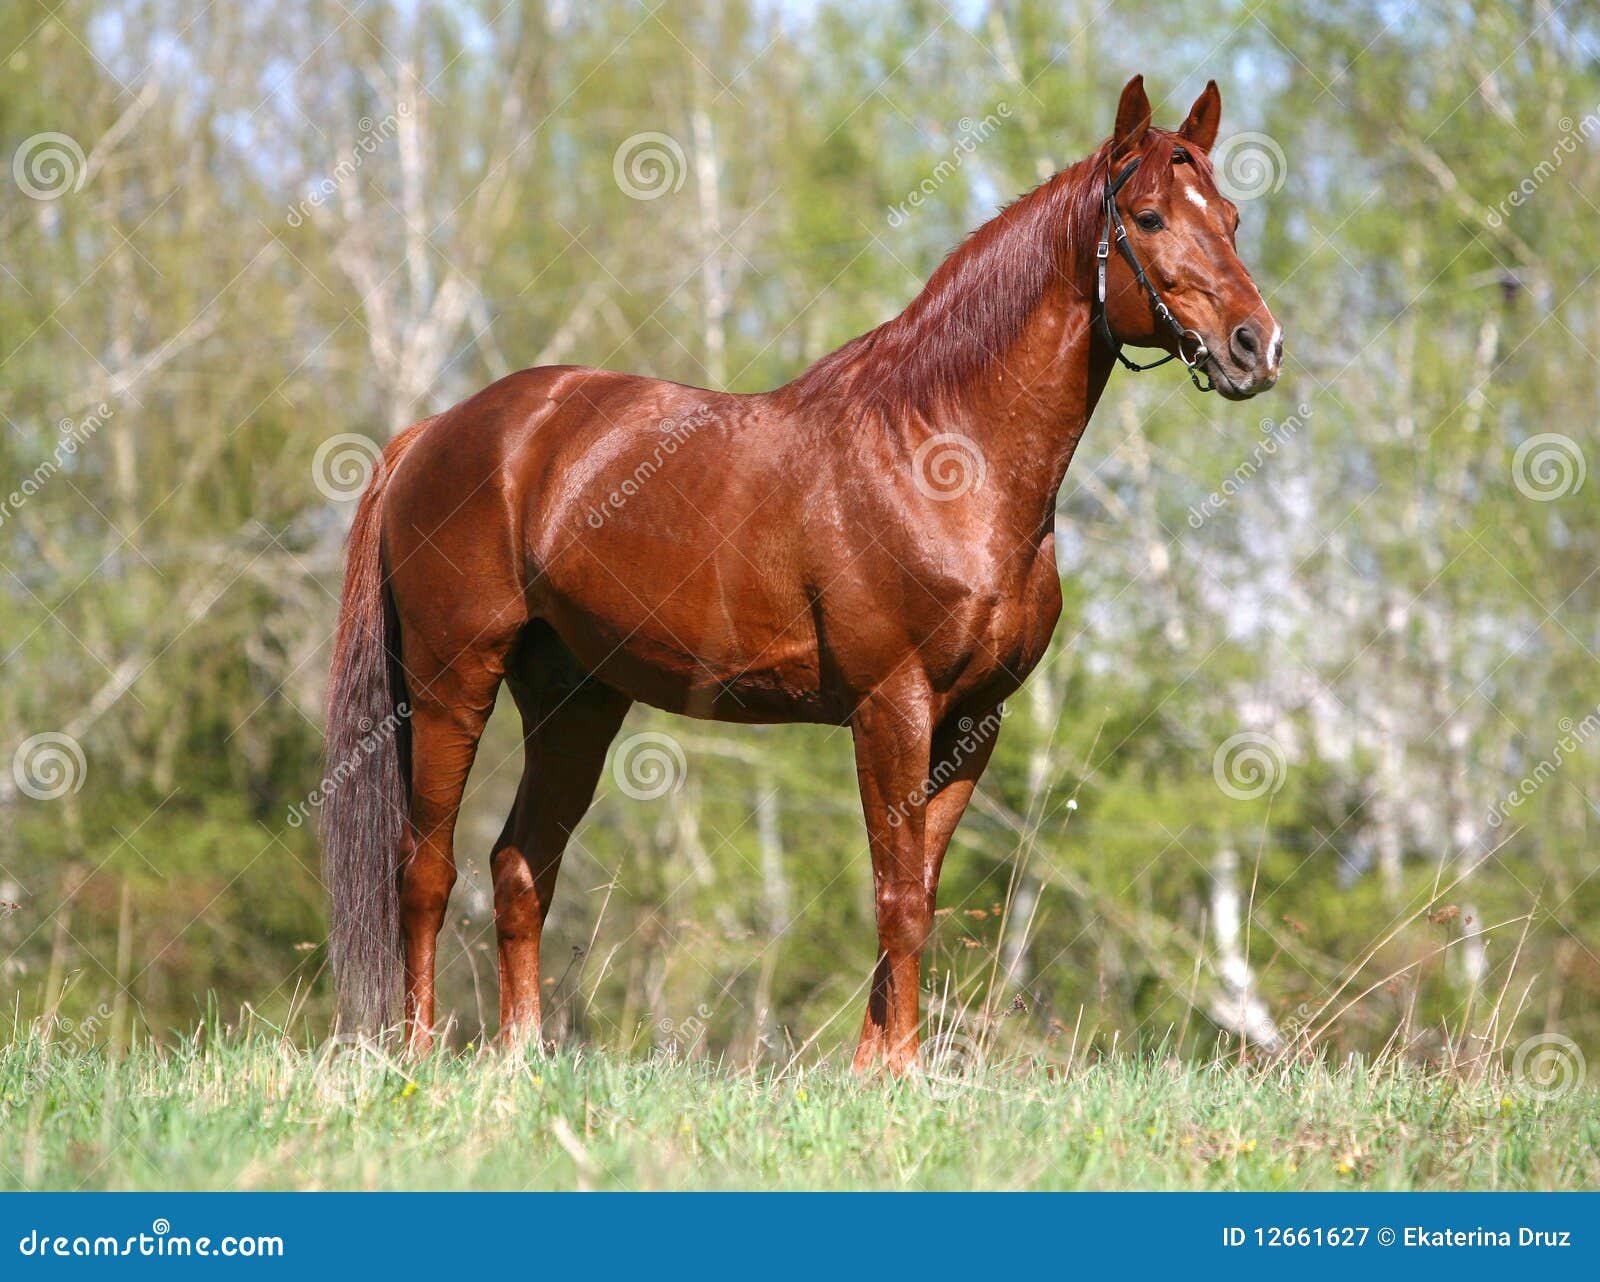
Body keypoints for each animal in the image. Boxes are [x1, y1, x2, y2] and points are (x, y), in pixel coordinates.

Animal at [322, 74, 1282, 1073]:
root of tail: (437, 431)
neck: (943, 455)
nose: (1257, 346)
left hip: (575, 699)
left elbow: (919, 889)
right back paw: (418, 1055)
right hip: (451, 682)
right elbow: (898, 899)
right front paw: (901, 1074)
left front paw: (875, 1070)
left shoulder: (974, 720)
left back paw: (521, 1056)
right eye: (1149, 216)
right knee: (426, 867)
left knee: (519, 866)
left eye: (1232, 217)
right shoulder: (892, 708)